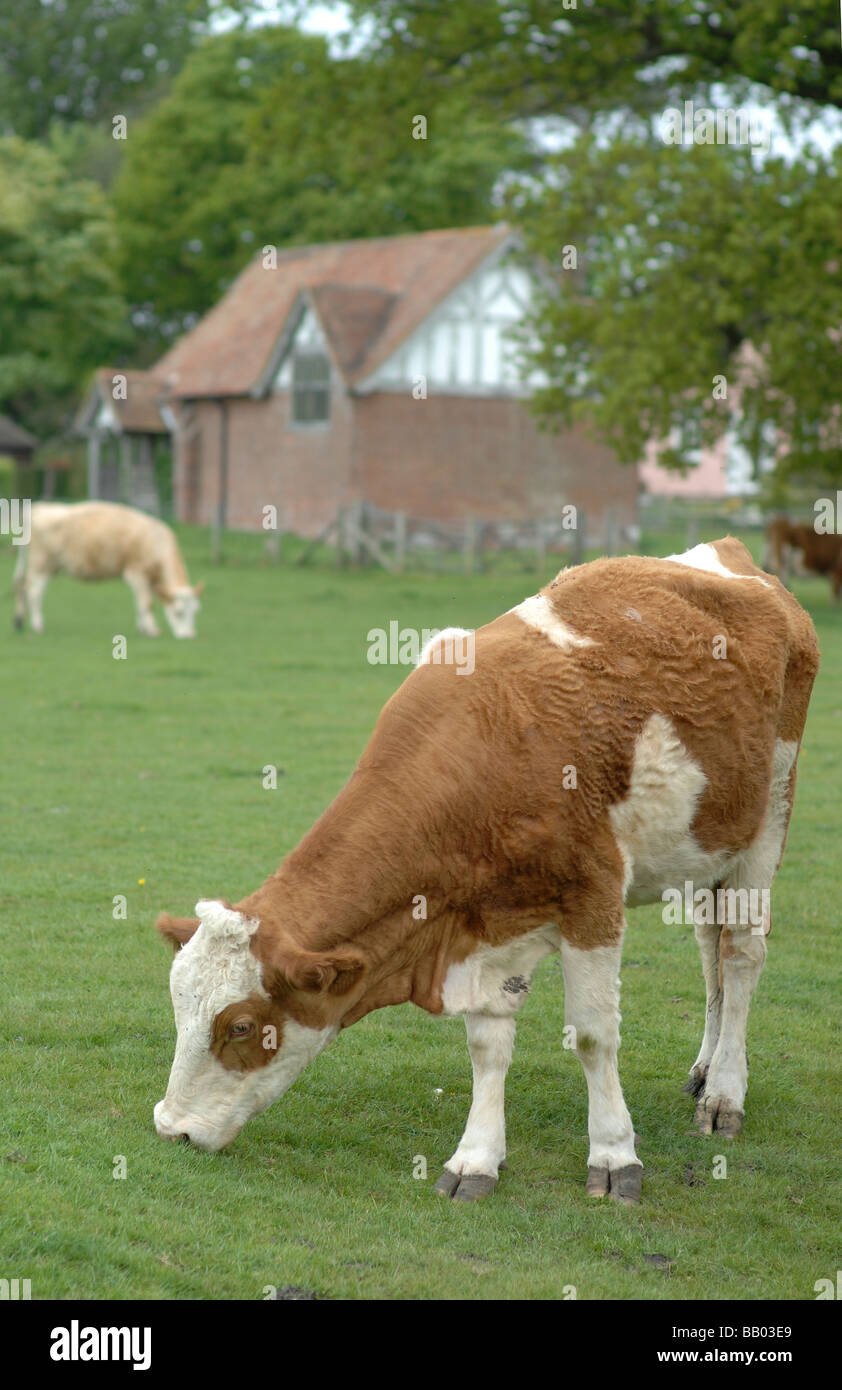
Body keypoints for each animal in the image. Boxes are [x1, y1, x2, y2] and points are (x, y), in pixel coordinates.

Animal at [13, 501, 203, 637]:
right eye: (178, 612)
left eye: (195, 611)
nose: (189, 636)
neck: (157, 542)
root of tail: (38, 508)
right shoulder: (135, 573)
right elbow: (146, 603)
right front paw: (152, 631)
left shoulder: (145, 579)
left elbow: (139, 603)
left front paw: (142, 628)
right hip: (40, 565)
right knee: (34, 593)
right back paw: (38, 626)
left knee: (23, 586)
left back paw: (20, 622)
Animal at [154, 538, 818, 1204]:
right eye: (179, 1006)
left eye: (242, 1027)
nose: (171, 1129)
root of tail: (730, 555)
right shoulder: (480, 923)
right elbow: (487, 1043)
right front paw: (476, 1158)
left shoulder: (593, 896)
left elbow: (594, 1034)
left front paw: (613, 1154)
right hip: (709, 849)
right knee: (711, 949)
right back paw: (704, 1070)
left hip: (770, 815)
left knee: (741, 954)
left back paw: (725, 1093)